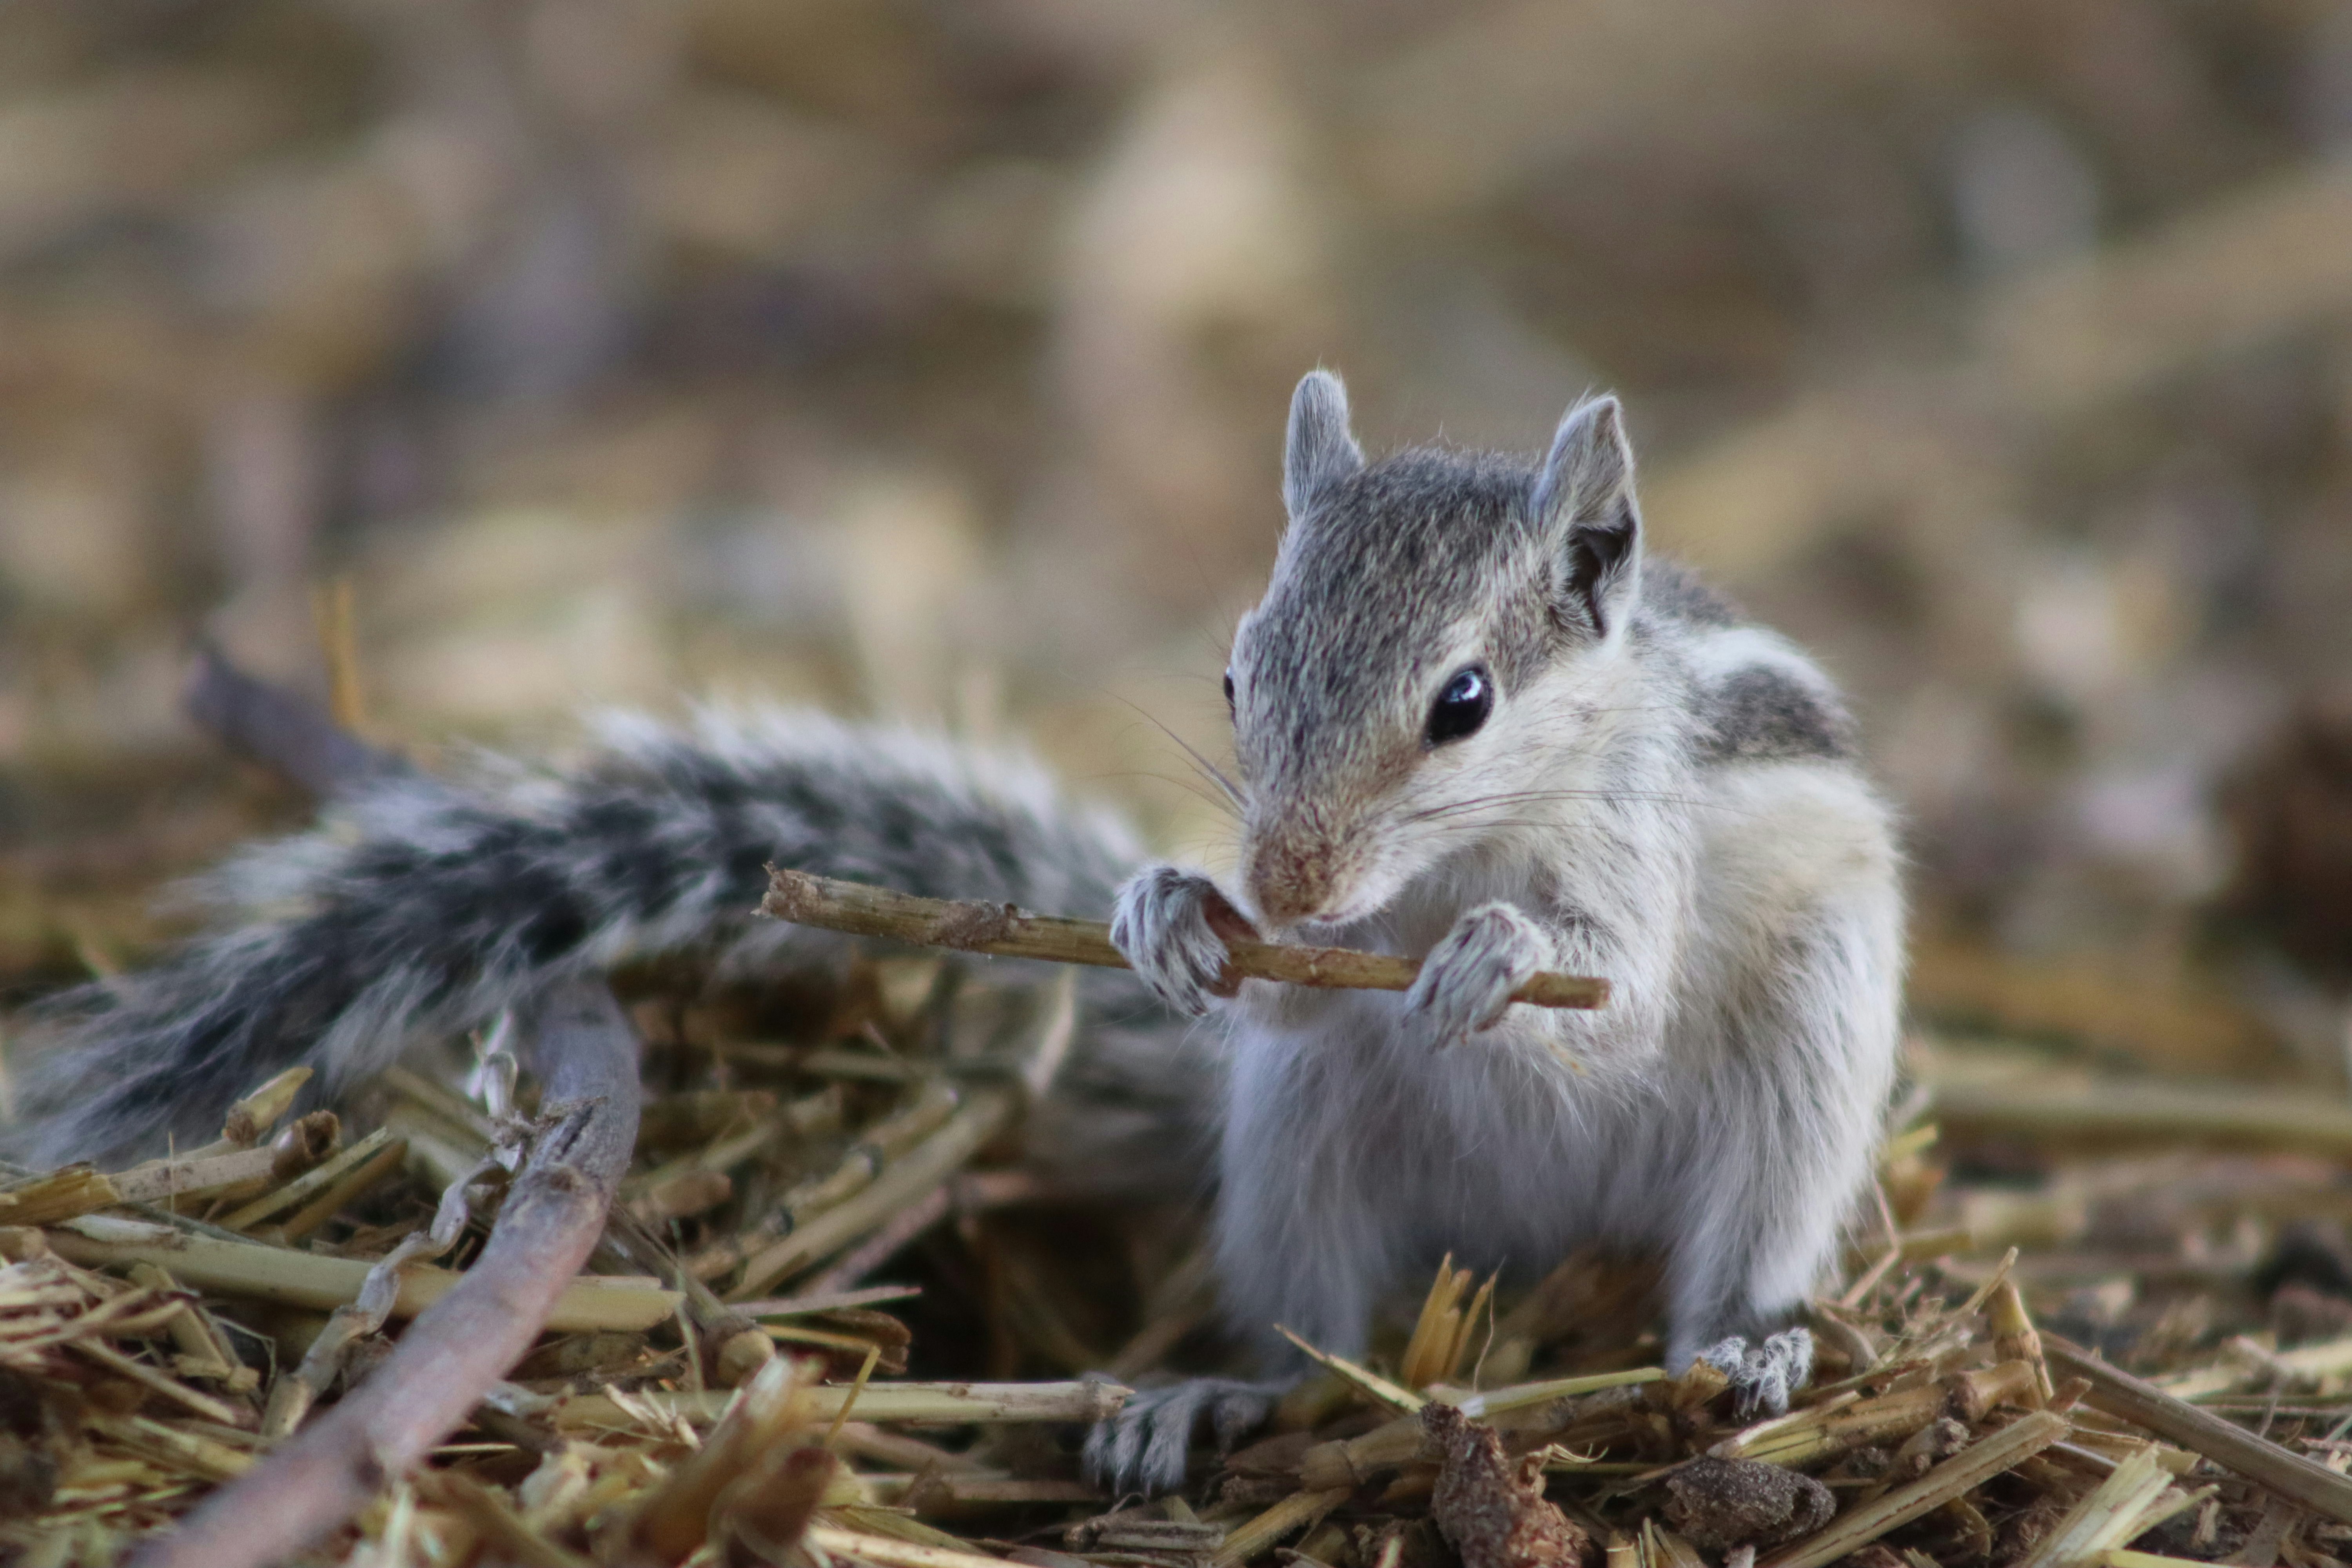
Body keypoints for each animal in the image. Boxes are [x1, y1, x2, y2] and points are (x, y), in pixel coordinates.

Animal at [8, 372, 1902, 1497]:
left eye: (1464, 701)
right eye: (1236, 670)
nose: (1289, 885)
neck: (1444, 861)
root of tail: (1527, 1257)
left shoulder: (1635, 853)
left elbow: (1614, 995)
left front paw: (1495, 961)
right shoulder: (1311, 995)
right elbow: (1289, 1001)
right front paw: (1177, 918)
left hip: (1796, 1080)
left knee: (1731, 1261)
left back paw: (1751, 1343)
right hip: (1305, 1152)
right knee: (1320, 1336)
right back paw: (1213, 1397)